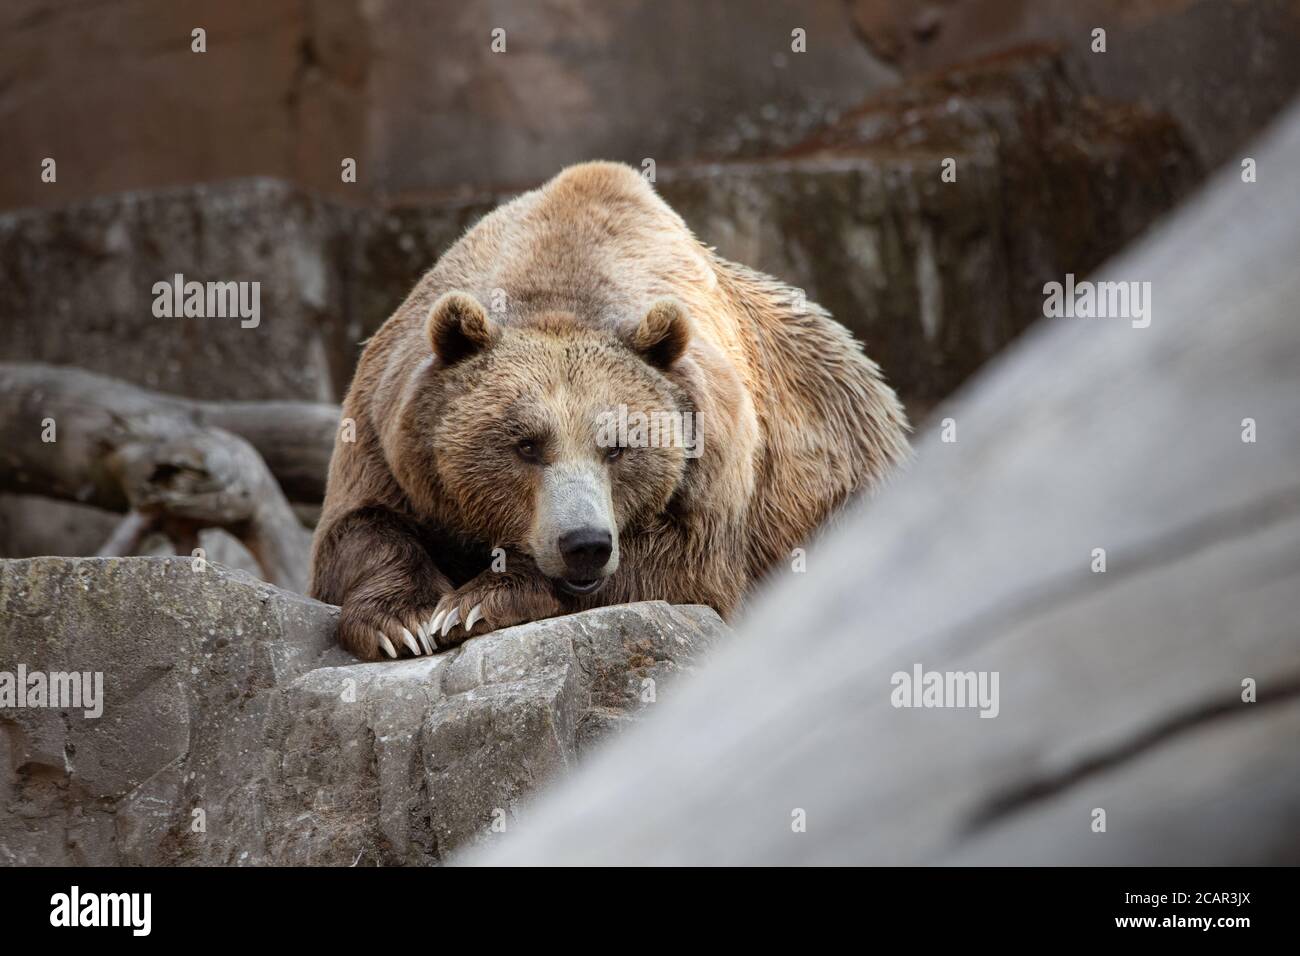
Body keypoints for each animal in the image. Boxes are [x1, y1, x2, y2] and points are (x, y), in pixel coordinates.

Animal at [310, 161, 909, 660]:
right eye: (525, 444)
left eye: (619, 446)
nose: (586, 544)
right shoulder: (386, 422)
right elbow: (355, 525)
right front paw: (404, 621)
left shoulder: (712, 450)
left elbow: (688, 567)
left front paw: (476, 601)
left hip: (837, 477)